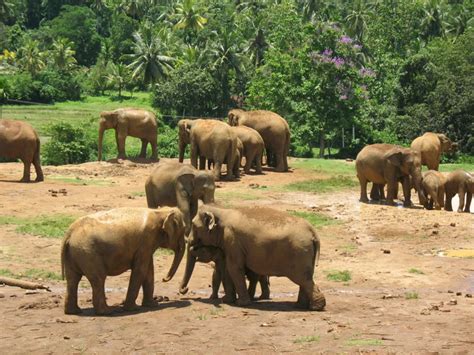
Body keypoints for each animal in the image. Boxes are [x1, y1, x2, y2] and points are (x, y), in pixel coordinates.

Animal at [189, 206, 326, 312]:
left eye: (194, 226)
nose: (192, 246)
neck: (221, 211)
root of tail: (313, 232)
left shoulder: (232, 241)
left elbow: (234, 268)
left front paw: (240, 303)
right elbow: (229, 269)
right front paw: (228, 300)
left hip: (299, 252)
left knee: (303, 279)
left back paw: (315, 308)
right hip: (305, 253)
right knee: (306, 278)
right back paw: (300, 306)